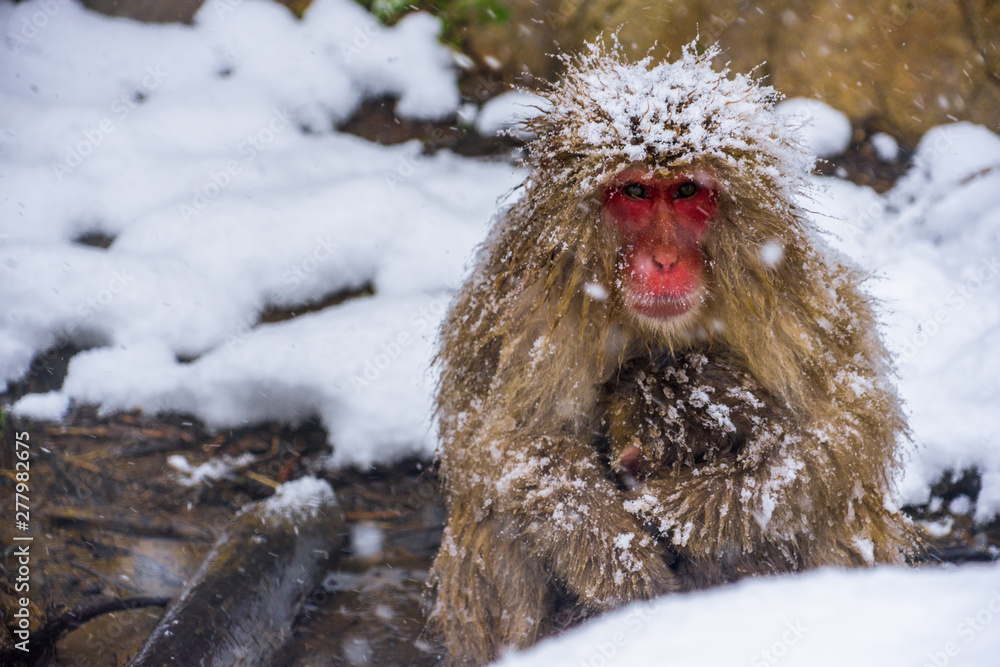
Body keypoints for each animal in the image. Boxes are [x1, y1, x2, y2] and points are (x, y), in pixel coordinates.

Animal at [429, 41, 915, 665]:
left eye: (686, 191)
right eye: (636, 191)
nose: (663, 260)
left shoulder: (782, 287)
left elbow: (848, 423)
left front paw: (683, 510)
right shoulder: (528, 304)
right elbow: (495, 445)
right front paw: (622, 562)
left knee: (836, 503)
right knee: (496, 520)